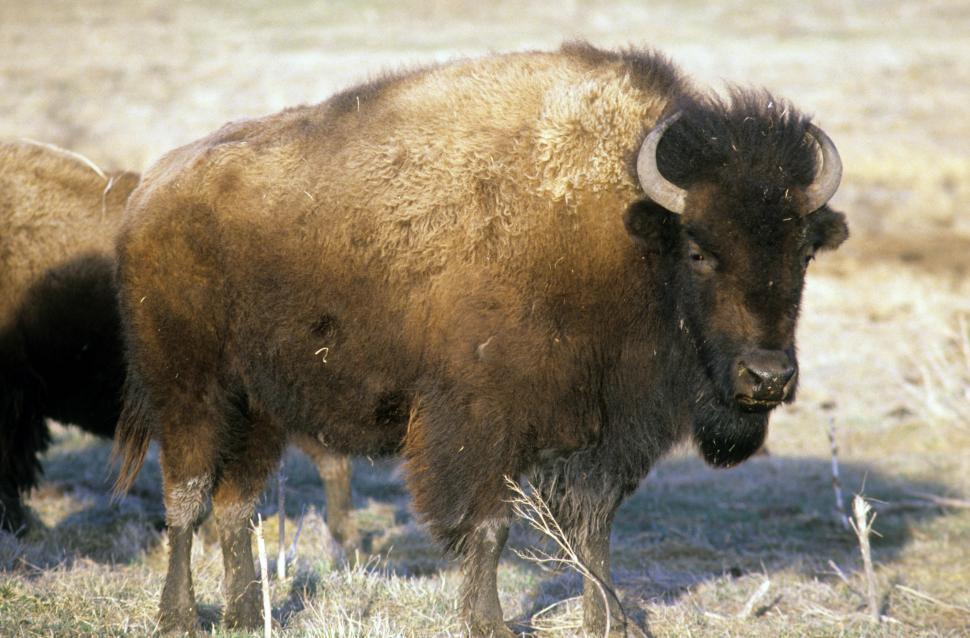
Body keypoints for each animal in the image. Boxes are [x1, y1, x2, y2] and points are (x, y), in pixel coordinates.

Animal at [113, 43, 848, 635]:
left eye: (803, 251)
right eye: (699, 249)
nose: (768, 376)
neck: (621, 232)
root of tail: (150, 193)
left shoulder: (606, 437)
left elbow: (593, 534)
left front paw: (606, 621)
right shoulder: (479, 426)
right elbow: (488, 528)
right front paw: (490, 623)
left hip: (260, 408)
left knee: (235, 506)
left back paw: (243, 616)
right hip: (191, 392)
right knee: (186, 500)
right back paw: (179, 617)